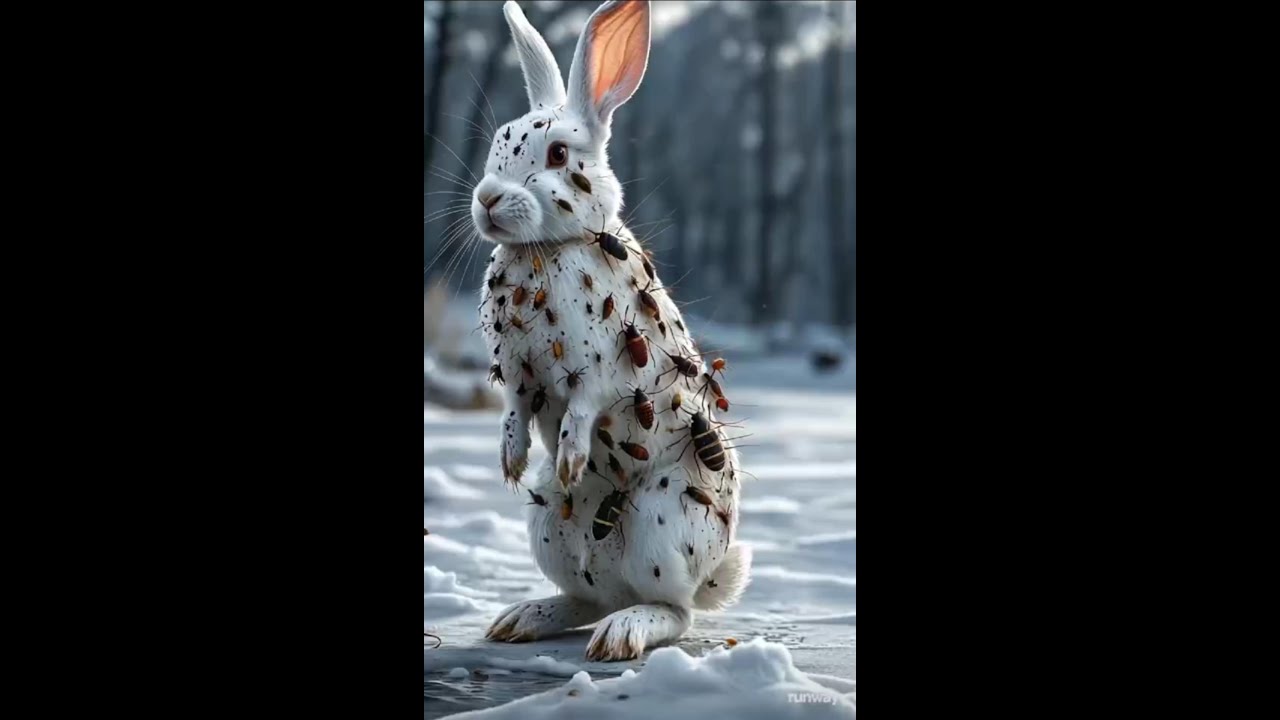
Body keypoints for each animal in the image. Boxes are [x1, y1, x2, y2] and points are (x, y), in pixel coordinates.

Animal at [472, 0, 751, 661]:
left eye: (556, 156)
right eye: (497, 144)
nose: (488, 199)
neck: (548, 248)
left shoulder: (599, 373)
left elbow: (583, 405)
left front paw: (574, 454)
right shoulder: (516, 378)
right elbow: (514, 408)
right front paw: (509, 460)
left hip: (660, 523)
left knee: (674, 611)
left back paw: (623, 634)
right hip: (548, 524)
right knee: (588, 598)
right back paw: (521, 618)